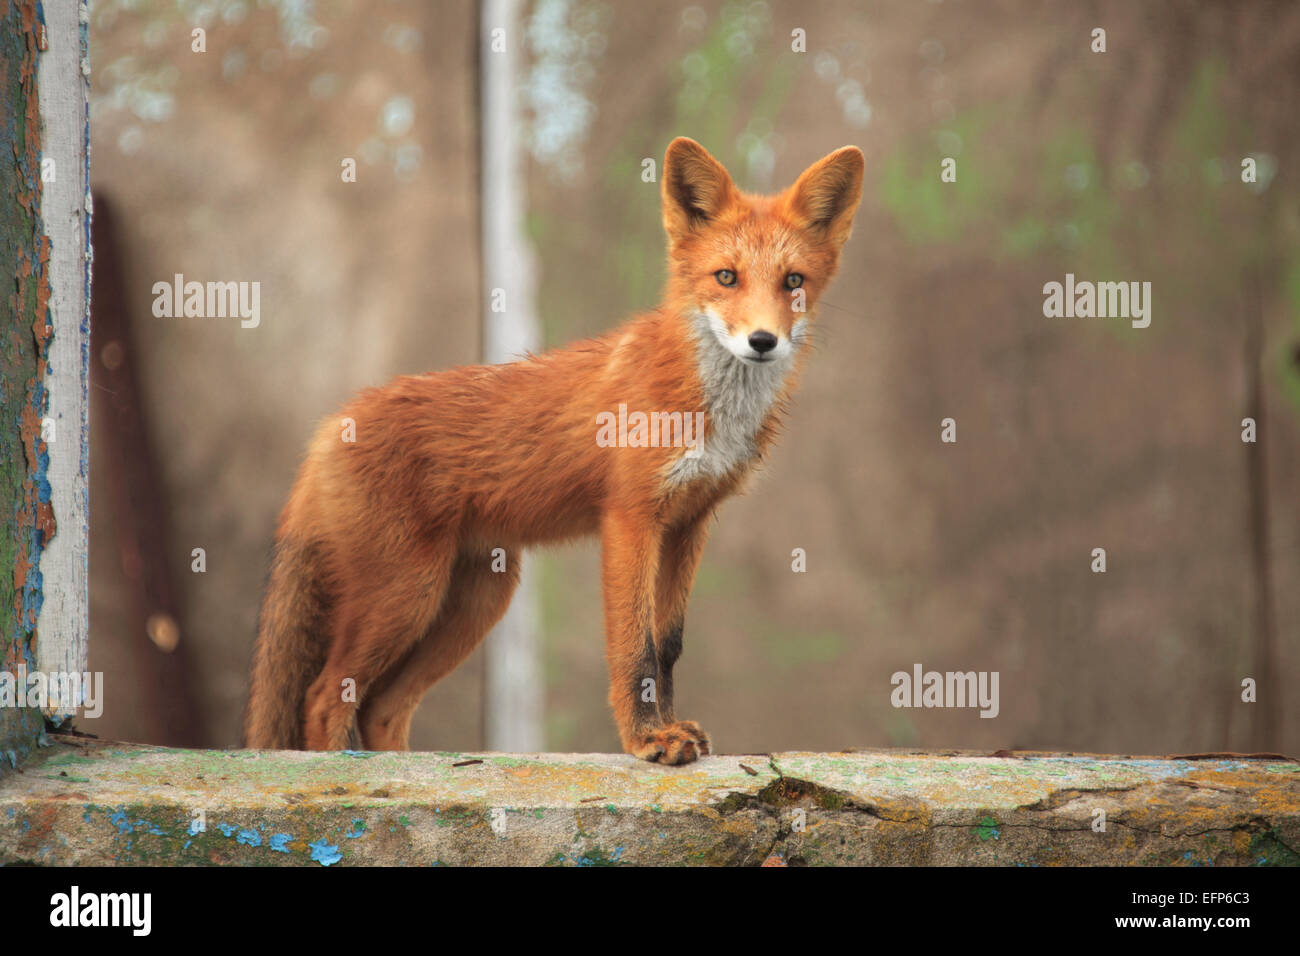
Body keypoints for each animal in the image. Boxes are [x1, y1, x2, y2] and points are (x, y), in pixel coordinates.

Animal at [244, 137, 864, 764]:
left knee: (381, 707)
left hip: (474, 601)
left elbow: (667, 647)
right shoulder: (631, 519)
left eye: (793, 281)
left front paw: (667, 726)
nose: (762, 341)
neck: (702, 403)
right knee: (325, 696)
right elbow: (635, 647)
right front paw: (647, 740)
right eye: (727, 277)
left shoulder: (690, 524)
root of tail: (331, 424)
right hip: (406, 593)